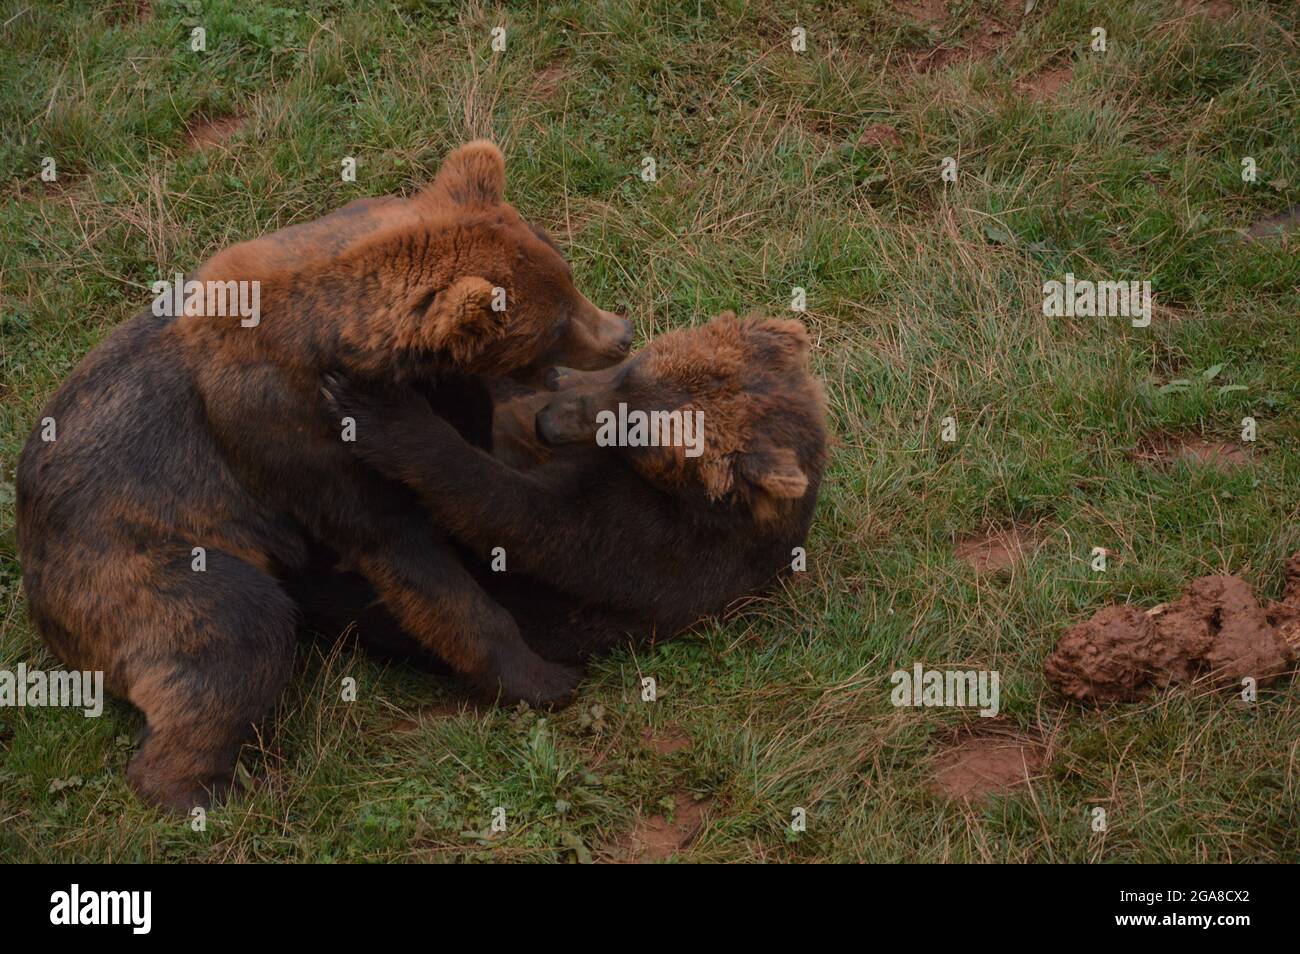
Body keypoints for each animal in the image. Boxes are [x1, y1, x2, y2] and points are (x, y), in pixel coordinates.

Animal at [15, 141, 631, 810]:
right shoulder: (291, 431)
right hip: (135, 569)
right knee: (236, 627)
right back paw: (224, 788)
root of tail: (40, 600)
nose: (622, 334)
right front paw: (544, 678)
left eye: (565, 272)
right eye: (554, 324)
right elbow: (402, 548)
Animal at [321, 311, 828, 664]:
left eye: (640, 435)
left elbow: (521, 517)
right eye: (630, 372)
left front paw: (379, 412)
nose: (548, 423)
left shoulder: (656, 543)